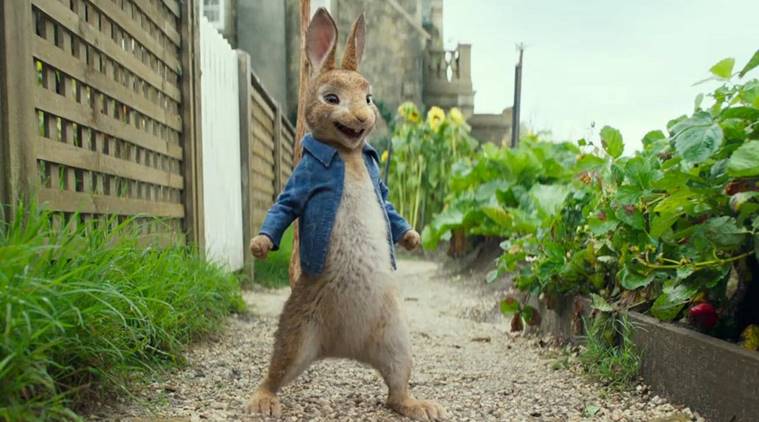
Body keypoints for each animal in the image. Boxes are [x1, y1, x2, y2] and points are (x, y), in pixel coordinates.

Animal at [245, 8, 446, 421]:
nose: (363, 118)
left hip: (396, 341)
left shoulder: (380, 189)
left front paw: (413, 239)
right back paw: (263, 400)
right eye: (332, 97)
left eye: (369, 97)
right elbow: (283, 206)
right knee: (276, 372)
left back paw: (419, 405)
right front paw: (259, 245)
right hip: (296, 333)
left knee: (395, 390)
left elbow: (391, 209)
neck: (348, 154)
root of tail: (341, 348)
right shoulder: (300, 181)